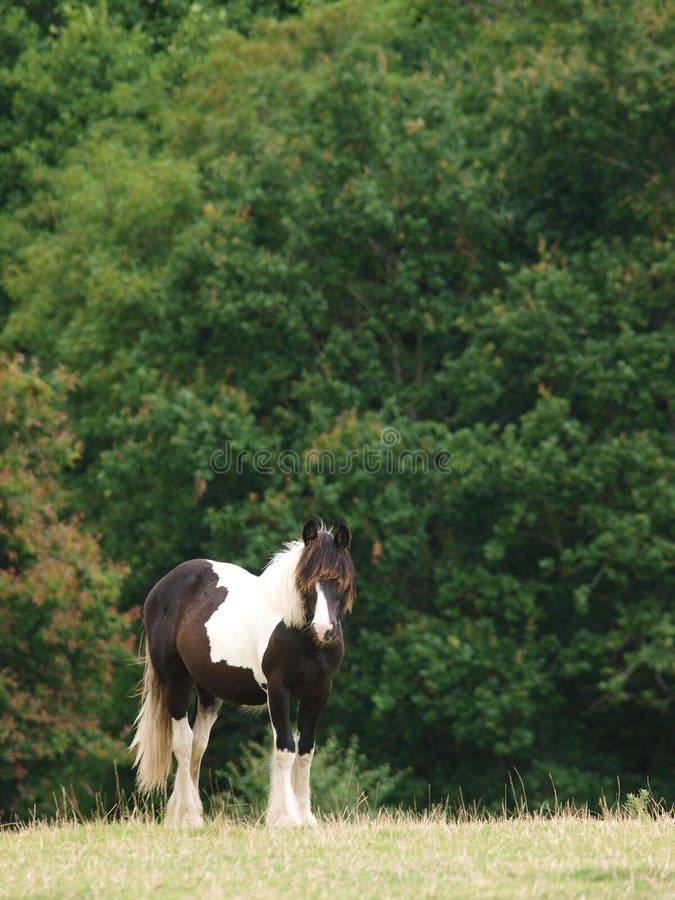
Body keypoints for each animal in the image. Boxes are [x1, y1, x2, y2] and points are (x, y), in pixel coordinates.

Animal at [130, 520, 355, 827]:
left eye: (340, 581)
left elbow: (305, 751)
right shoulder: (279, 690)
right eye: (306, 582)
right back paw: (188, 816)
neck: (296, 629)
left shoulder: (319, 692)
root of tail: (161, 588)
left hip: (208, 693)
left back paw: (184, 812)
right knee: (183, 743)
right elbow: (285, 748)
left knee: (198, 745)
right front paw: (285, 818)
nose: (325, 630)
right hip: (176, 682)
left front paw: (306, 817)